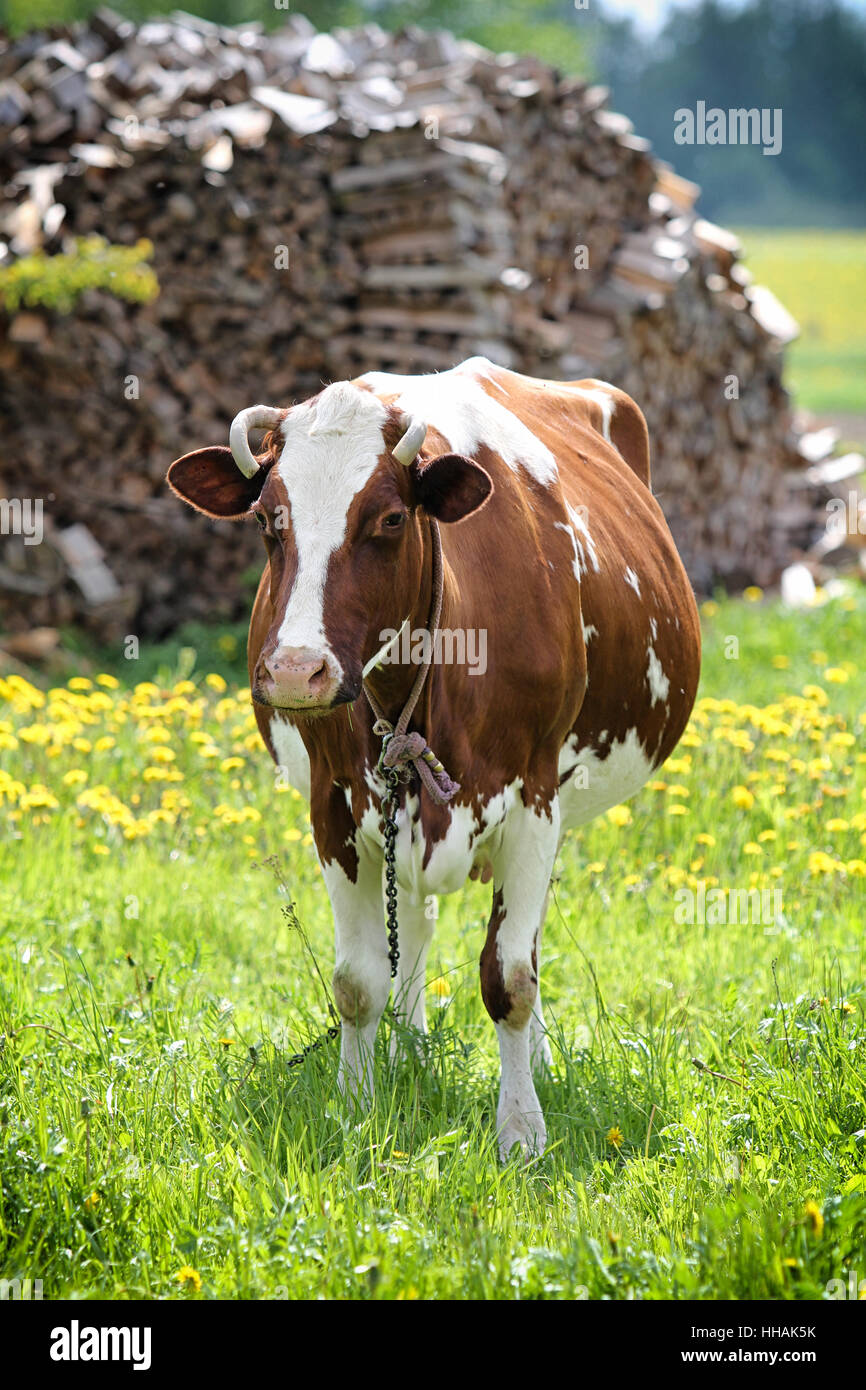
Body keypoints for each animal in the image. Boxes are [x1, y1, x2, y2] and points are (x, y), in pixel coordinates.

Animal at [167, 356, 701, 1159]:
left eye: (390, 519)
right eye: (267, 520)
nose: (295, 672)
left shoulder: (534, 801)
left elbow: (509, 975)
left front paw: (521, 1129)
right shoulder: (333, 806)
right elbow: (358, 980)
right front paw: (356, 1105)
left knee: (522, 941)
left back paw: (535, 1058)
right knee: (411, 927)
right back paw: (411, 1050)